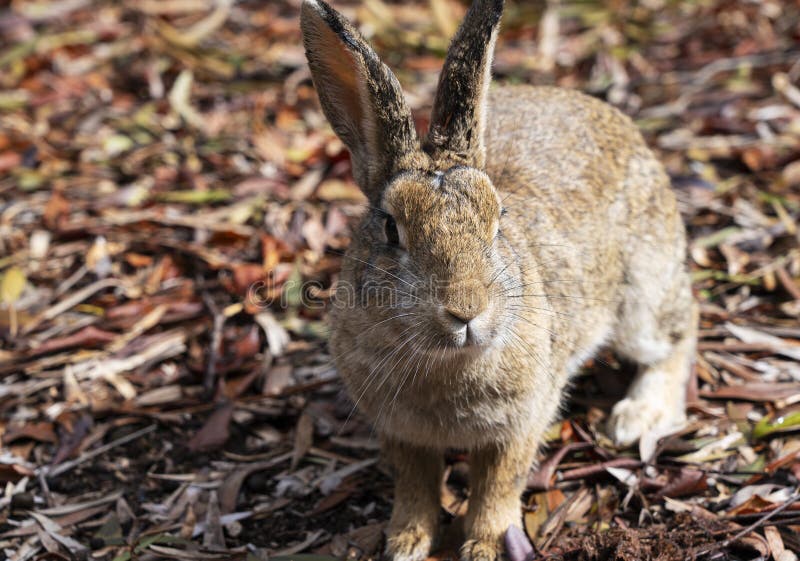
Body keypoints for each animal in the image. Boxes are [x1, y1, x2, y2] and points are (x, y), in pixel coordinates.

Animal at [300, 0, 697, 560]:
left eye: (498, 218)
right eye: (391, 228)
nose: (466, 309)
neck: (446, 362)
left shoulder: (521, 422)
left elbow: (498, 485)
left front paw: (483, 546)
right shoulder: (401, 433)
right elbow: (416, 484)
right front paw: (406, 542)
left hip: (641, 296)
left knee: (678, 332)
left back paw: (634, 418)